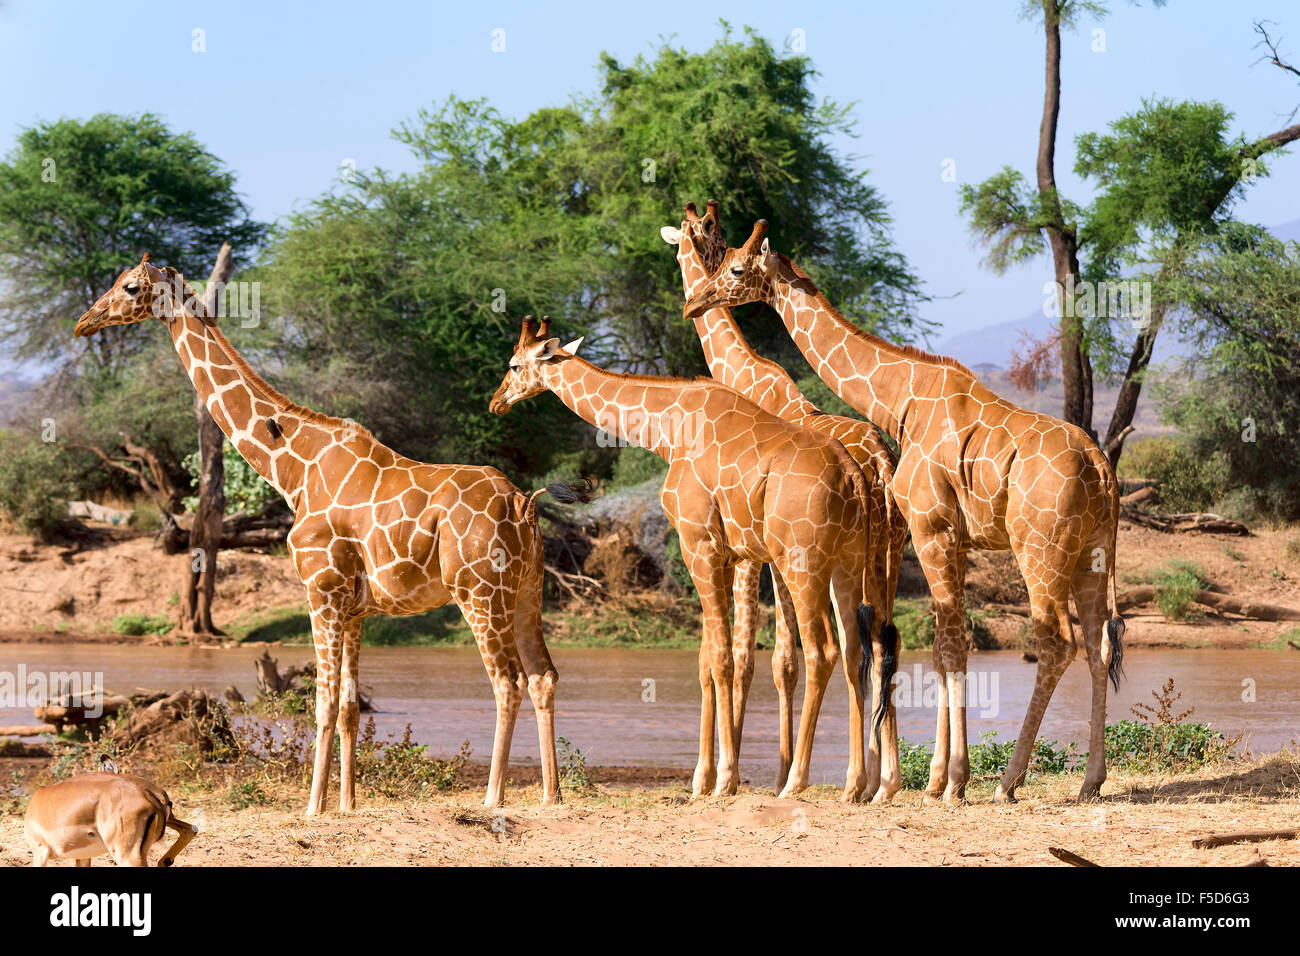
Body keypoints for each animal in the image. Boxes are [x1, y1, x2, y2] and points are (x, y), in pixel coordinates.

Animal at [74, 254, 576, 814]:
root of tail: (522, 503)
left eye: (129, 287)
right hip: (527, 590)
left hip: (479, 591)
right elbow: (351, 707)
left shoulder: (321, 590)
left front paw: (313, 807)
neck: (292, 468)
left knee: (507, 681)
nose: (84, 323)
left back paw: (493, 798)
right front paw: (347, 805)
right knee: (543, 676)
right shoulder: (355, 608)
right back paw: (552, 794)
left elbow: (323, 701)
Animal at [491, 316, 886, 800]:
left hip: (802, 561)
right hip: (847, 562)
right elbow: (705, 660)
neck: (667, 430)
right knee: (853, 650)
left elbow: (722, 658)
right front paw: (702, 779)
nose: (496, 401)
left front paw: (726, 780)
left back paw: (795, 783)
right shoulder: (727, 555)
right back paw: (854, 785)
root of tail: (854, 477)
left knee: (821, 650)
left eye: (513, 364)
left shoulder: (699, 544)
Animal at [684, 221, 1125, 803]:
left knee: (1057, 642)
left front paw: (953, 780)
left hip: (1040, 549)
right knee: (1098, 645)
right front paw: (938, 778)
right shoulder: (952, 537)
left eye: (735, 268)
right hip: (1093, 552)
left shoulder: (931, 528)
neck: (901, 402)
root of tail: (1102, 470)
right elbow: (942, 648)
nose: (694, 301)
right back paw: (1091, 781)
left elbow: (949, 648)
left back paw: (1008, 782)